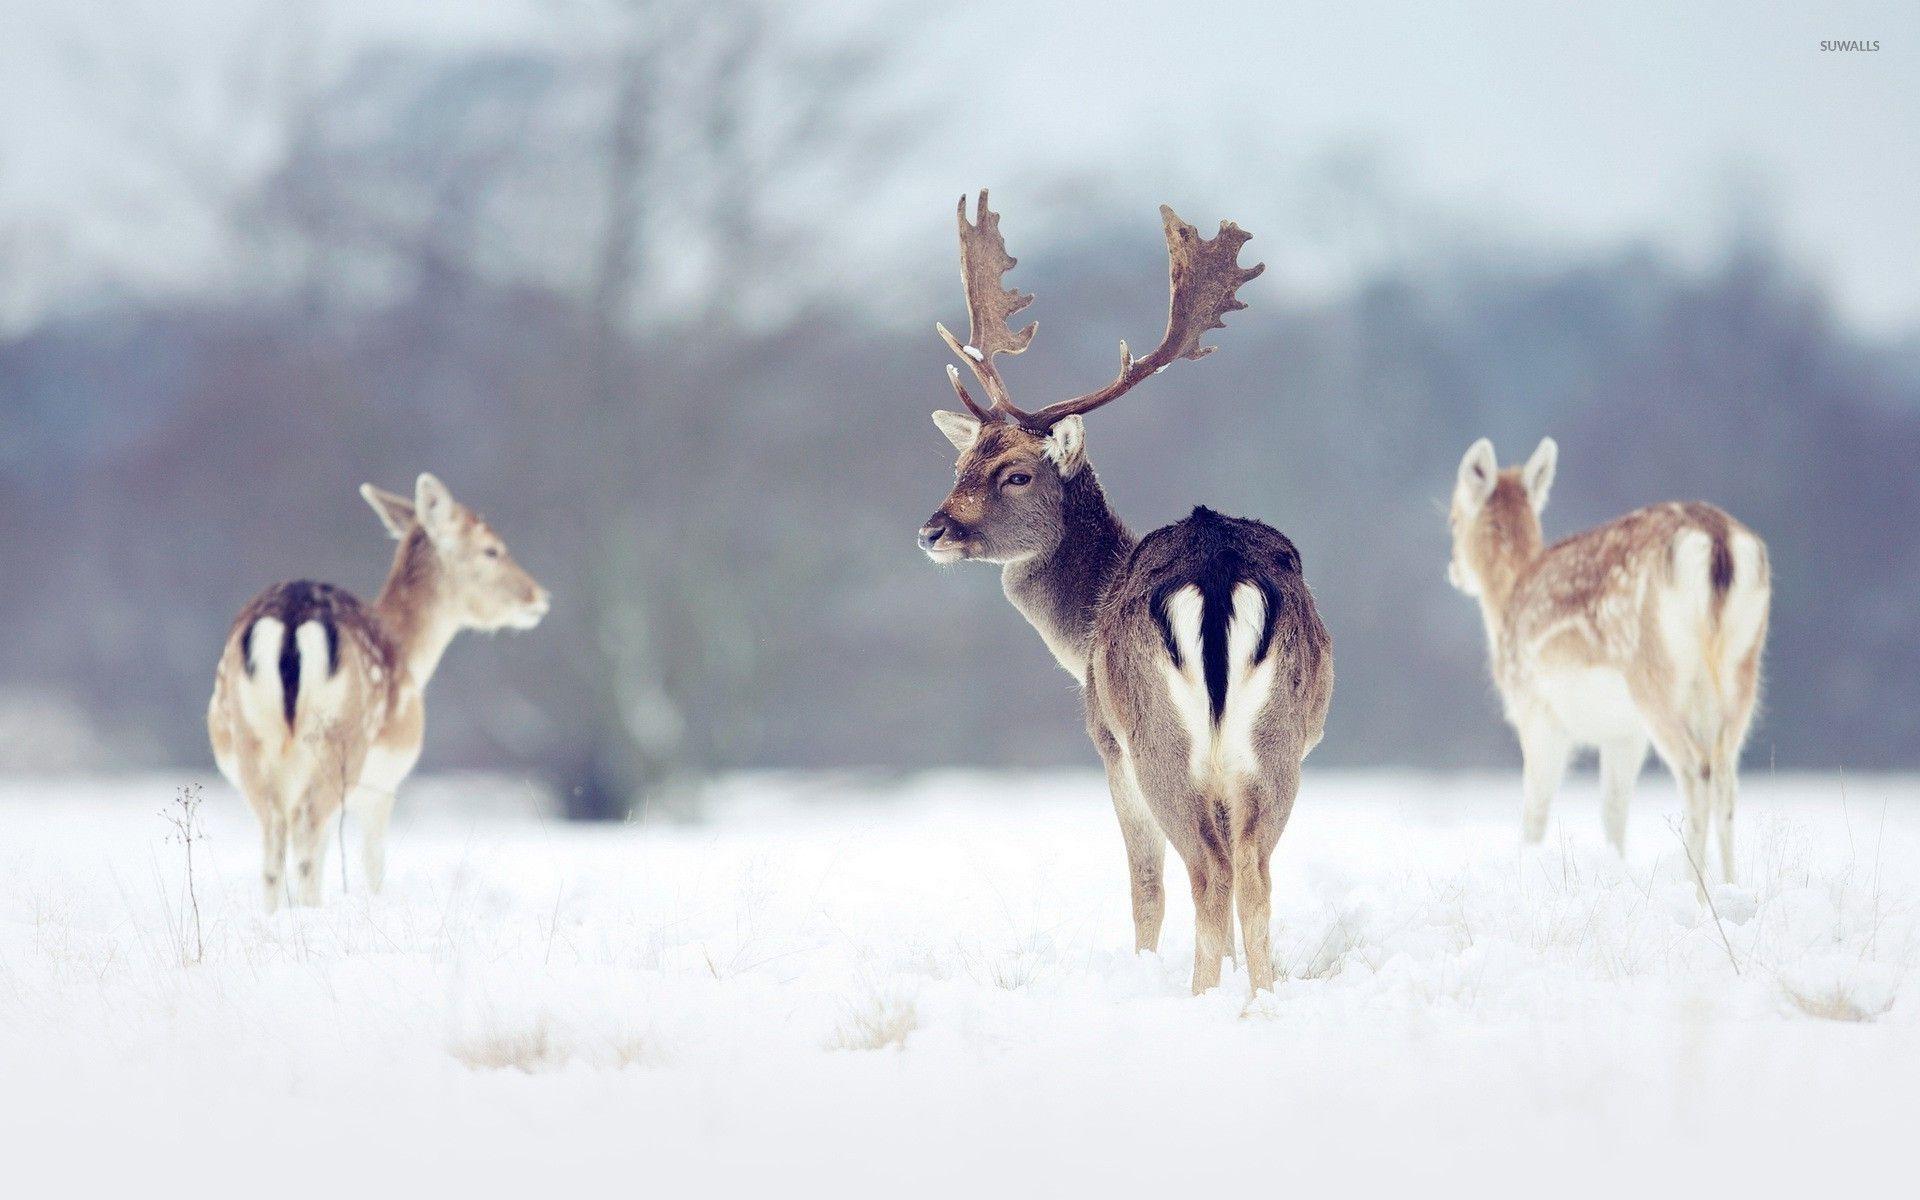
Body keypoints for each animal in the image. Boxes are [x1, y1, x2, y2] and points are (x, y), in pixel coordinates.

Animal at [207, 473, 549, 910]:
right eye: (491, 549)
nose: (538, 596)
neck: (411, 654)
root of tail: (291, 620)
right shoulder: (383, 784)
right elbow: (372, 864)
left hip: (250, 737)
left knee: (274, 837)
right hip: (341, 744)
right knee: (305, 829)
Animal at [916, 192, 1334, 996]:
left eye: (1016, 473)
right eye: (960, 462)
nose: (932, 529)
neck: (1082, 625)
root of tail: (1216, 572)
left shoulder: (1106, 745)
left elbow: (1144, 887)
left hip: (1157, 741)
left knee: (1205, 872)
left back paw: (1200, 997)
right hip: (1279, 745)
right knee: (1253, 872)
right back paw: (1258, 999)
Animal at [1446, 438, 1770, 894]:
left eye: (1454, 519)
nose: (1453, 570)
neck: (1506, 601)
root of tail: (1718, 541)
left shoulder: (1537, 710)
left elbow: (1534, 812)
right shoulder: (1623, 733)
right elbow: (1613, 812)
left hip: (1654, 676)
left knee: (1697, 771)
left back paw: (1696, 890)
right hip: (1741, 670)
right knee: (1726, 776)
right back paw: (1731, 889)